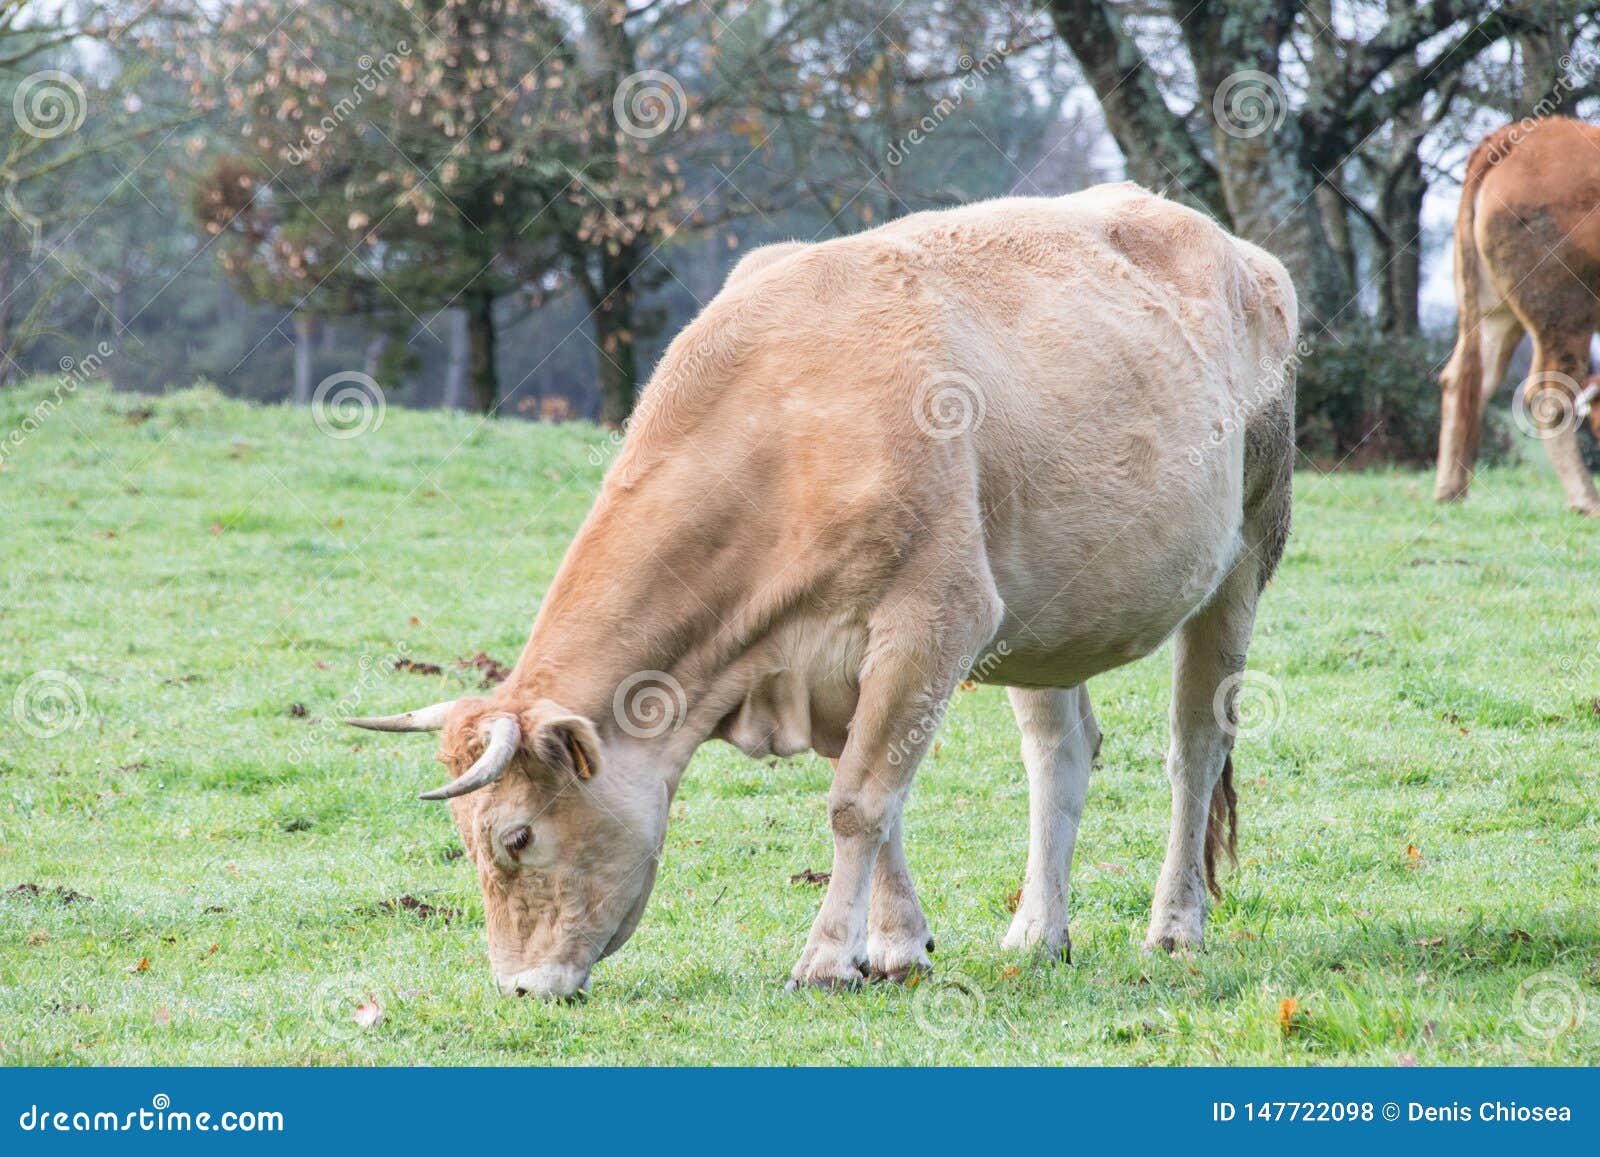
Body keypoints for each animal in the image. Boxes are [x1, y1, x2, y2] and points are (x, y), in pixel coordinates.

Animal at [346, 182, 1298, 1000]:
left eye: (516, 836)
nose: (519, 985)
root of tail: (1237, 247)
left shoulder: (937, 618)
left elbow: (858, 803)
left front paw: (827, 958)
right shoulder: (828, 660)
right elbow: (882, 802)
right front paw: (898, 944)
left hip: (1248, 548)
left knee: (1196, 744)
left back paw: (1174, 925)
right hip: (1044, 614)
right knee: (1059, 755)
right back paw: (1038, 933)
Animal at [1435, 116, 1600, 515]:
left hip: (1493, 313)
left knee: (1465, 381)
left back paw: (1450, 490)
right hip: (1565, 313)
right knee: (1548, 394)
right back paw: (1586, 499)